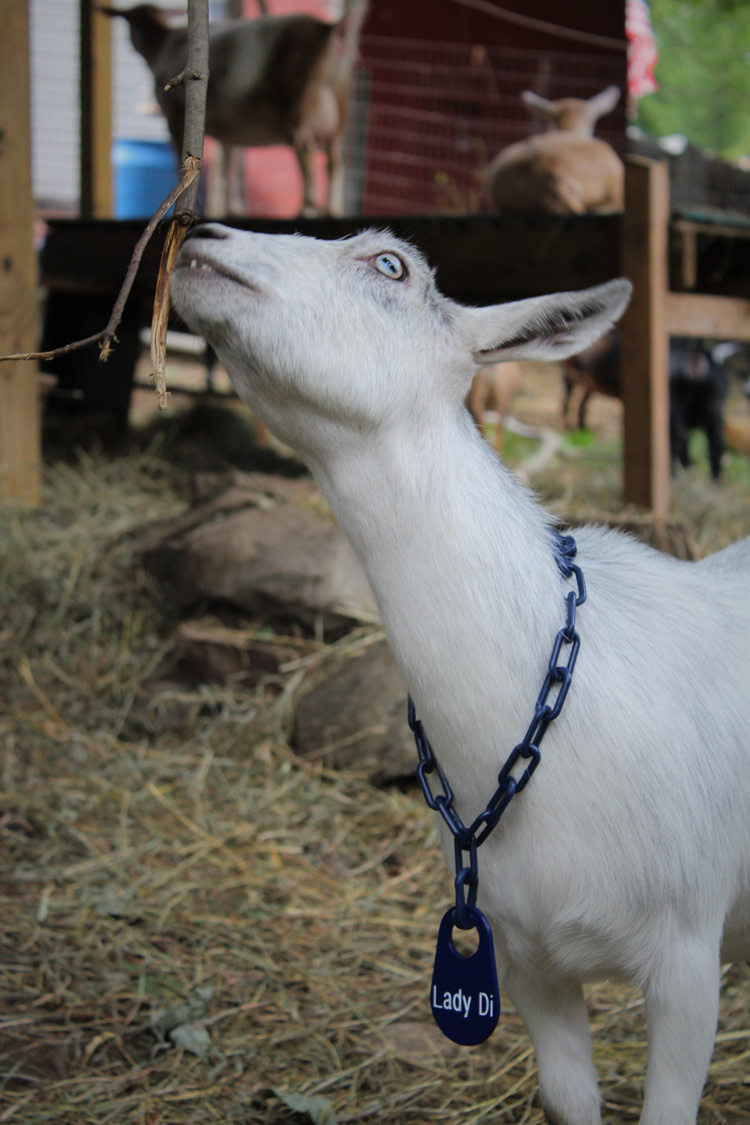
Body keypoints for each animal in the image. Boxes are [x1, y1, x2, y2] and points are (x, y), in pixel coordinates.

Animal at [102, 1, 368, 216]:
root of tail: (329, 29)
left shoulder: (174, 118)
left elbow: (187, 158)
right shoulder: (227, 128)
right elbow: (228, 164)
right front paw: (233, 208)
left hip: (300, 106)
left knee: (307, 153)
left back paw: (306, 209)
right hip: (340, 110)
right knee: (335, 160)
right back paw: (333, 209)